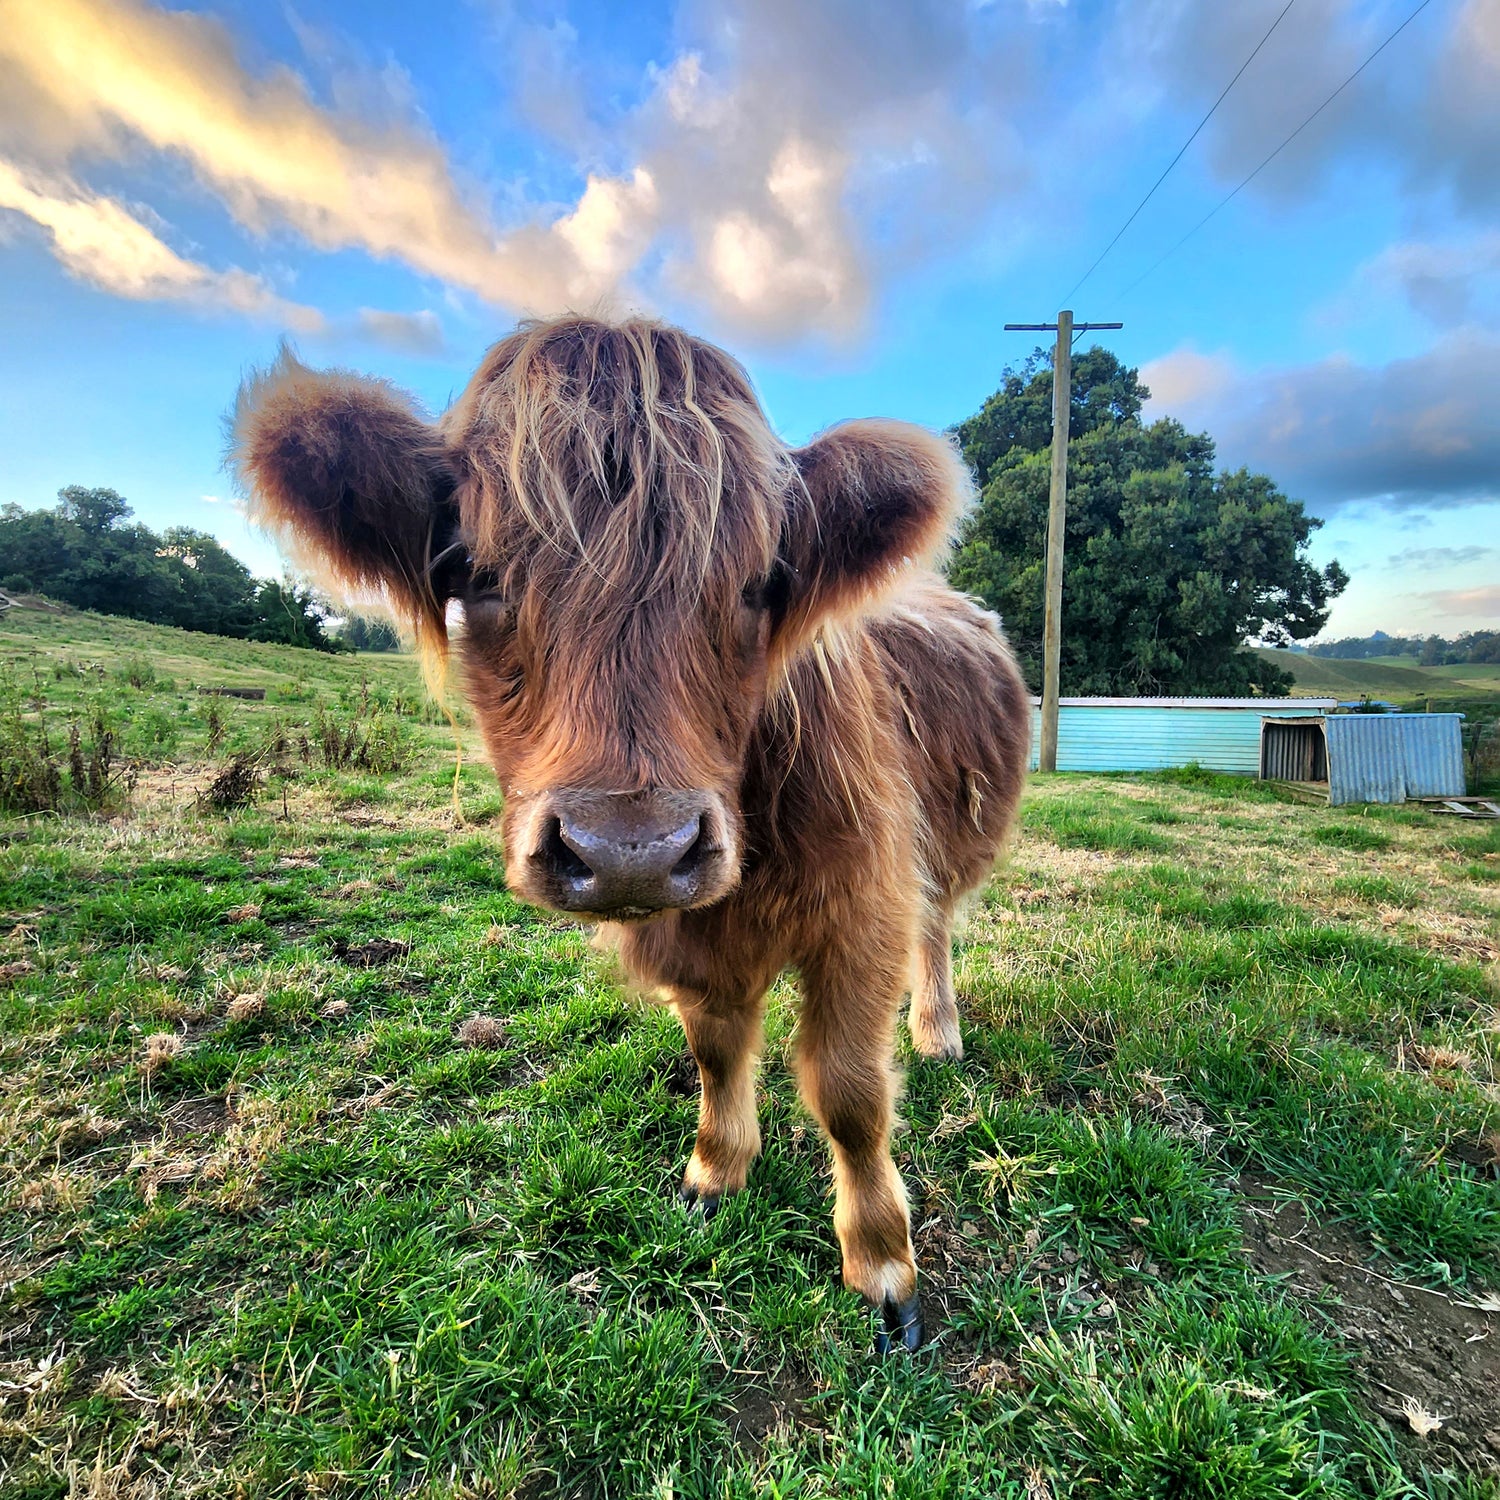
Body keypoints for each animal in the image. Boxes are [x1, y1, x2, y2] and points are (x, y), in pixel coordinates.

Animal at [231, 315, 1030, 1353]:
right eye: (475, 574)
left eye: (760, 584)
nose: (630, 850)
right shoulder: (688, 932)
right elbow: (717, 1050)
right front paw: (716, 1171)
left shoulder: (864, 909)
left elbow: (851, 1093)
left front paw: (884, 1267)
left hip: (944, 851)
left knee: (938, 929)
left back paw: (937, 1032)